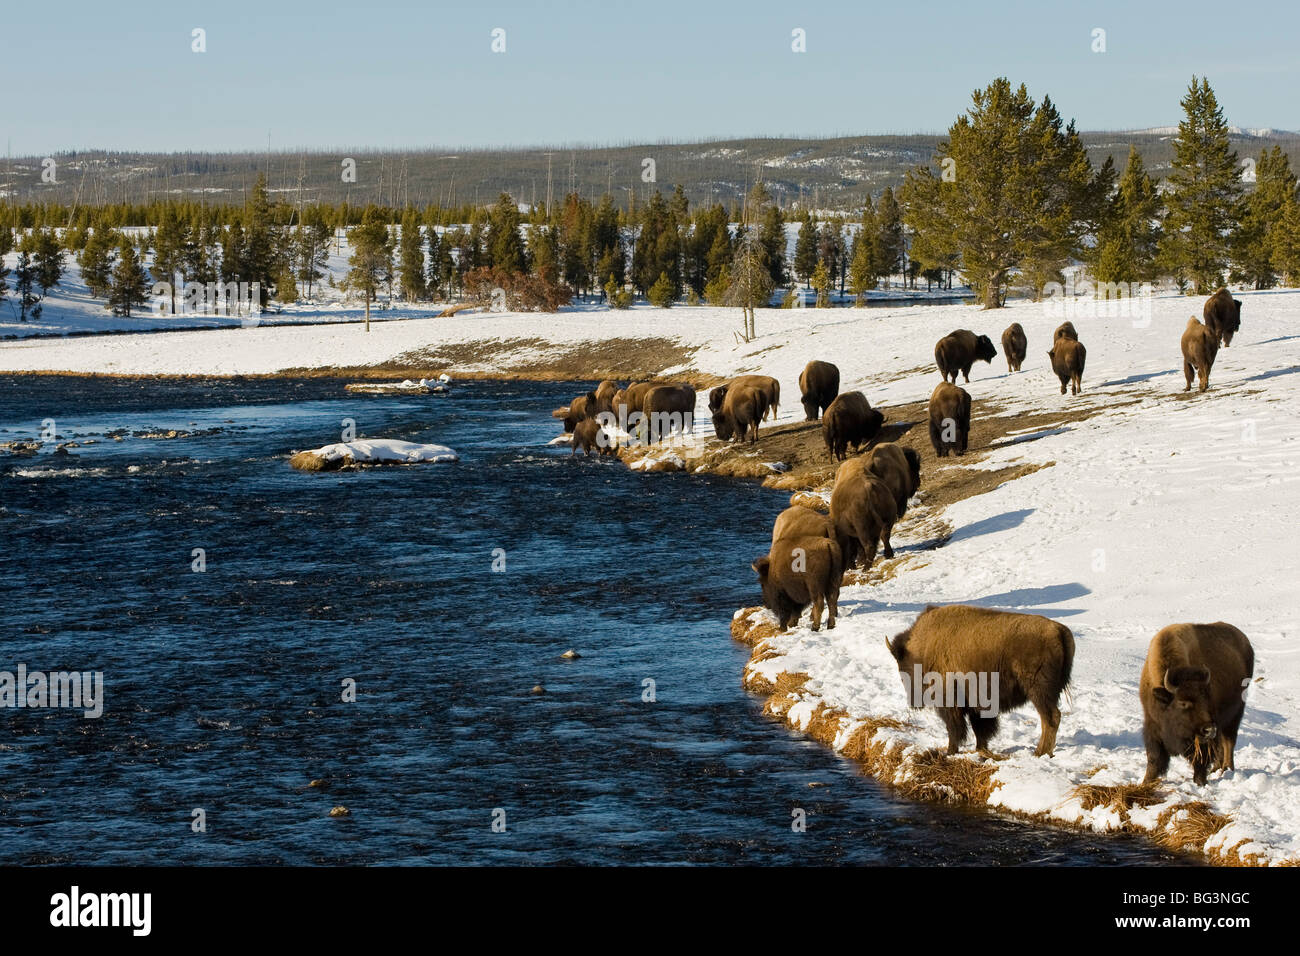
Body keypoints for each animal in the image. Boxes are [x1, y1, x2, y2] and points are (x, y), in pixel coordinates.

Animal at [885, 605, 1075, 757]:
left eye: (904, 670)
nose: (914, 703)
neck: (924, 648)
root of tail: (1059, 632)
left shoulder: (951, 701)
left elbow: (954, 728)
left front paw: (950, 752)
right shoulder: (976, 703)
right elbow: (980, 729)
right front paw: (980, 750)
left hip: (1039, 692)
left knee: (1050, 718)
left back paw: (1039, 753)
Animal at [1140, 623, 1254, 786]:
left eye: (1205, 699)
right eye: (1182, 702)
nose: (1208, 730)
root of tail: (1245, 641)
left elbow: (1201, 759)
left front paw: (1200, 783)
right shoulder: (1152, 727)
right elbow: (1154, 759)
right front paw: (1145, 782)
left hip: (1234, 716)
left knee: (1229, 742)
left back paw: (1227, 769)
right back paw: (1217, 769)